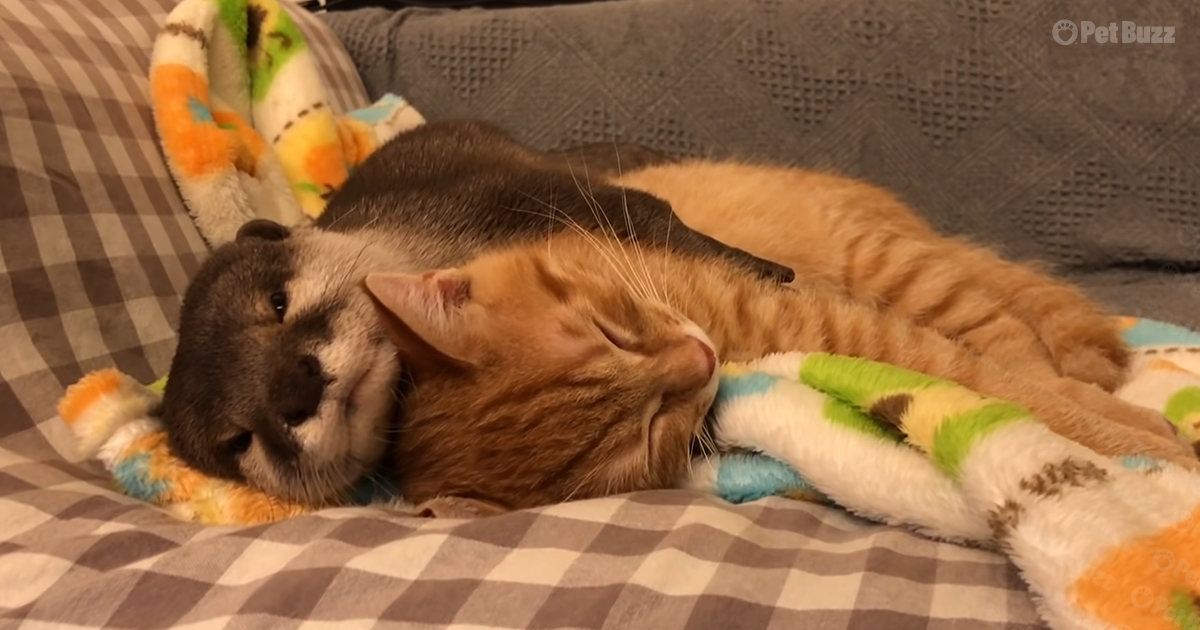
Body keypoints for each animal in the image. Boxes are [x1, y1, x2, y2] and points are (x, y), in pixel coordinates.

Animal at [156, 119, 793, 507]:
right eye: (240, 441)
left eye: (277, 301)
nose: (295, 388)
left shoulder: (519, 194)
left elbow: (672, 227)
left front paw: (779, 276)